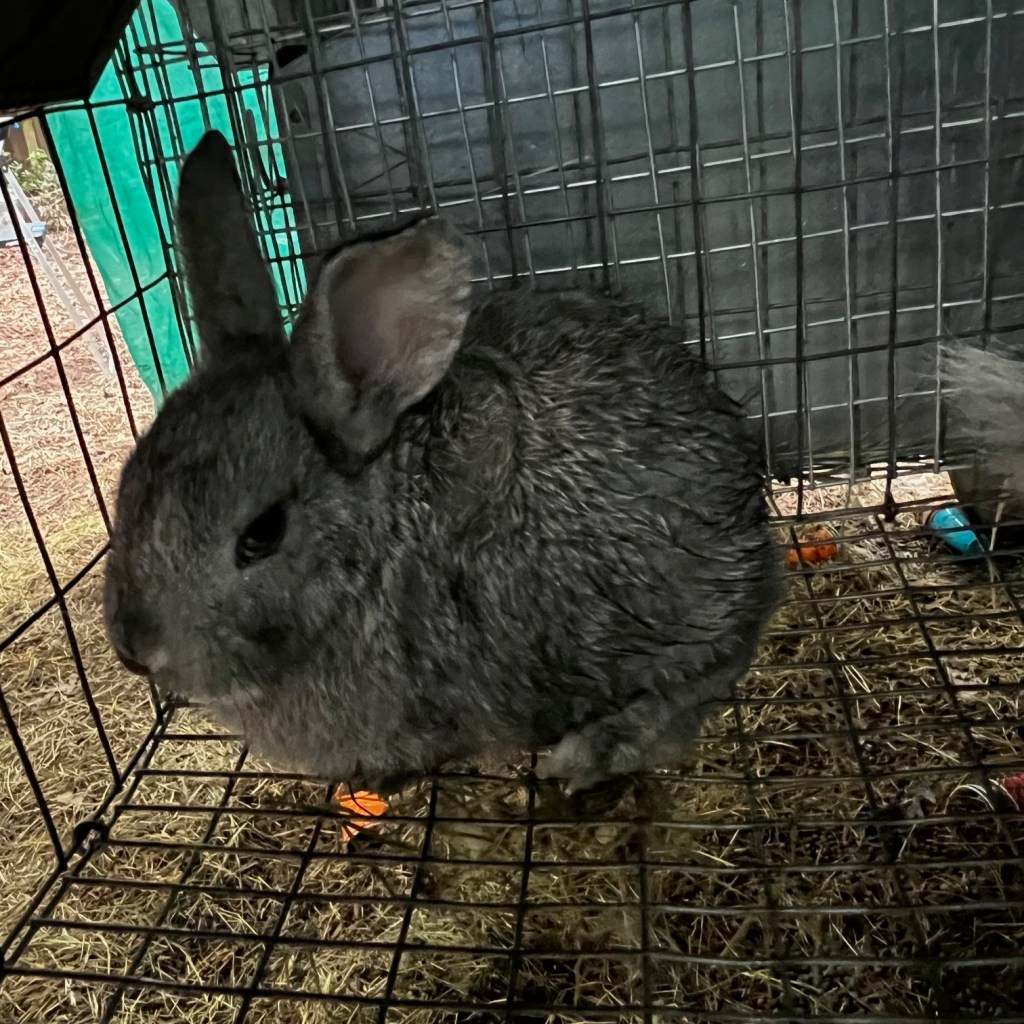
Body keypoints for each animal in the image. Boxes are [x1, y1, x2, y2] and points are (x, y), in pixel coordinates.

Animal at [103, 130, 783, 795]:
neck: (375, 548)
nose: (136, 648)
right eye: (128, 484)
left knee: (705, 673)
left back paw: (592, 753)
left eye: (263, 534)